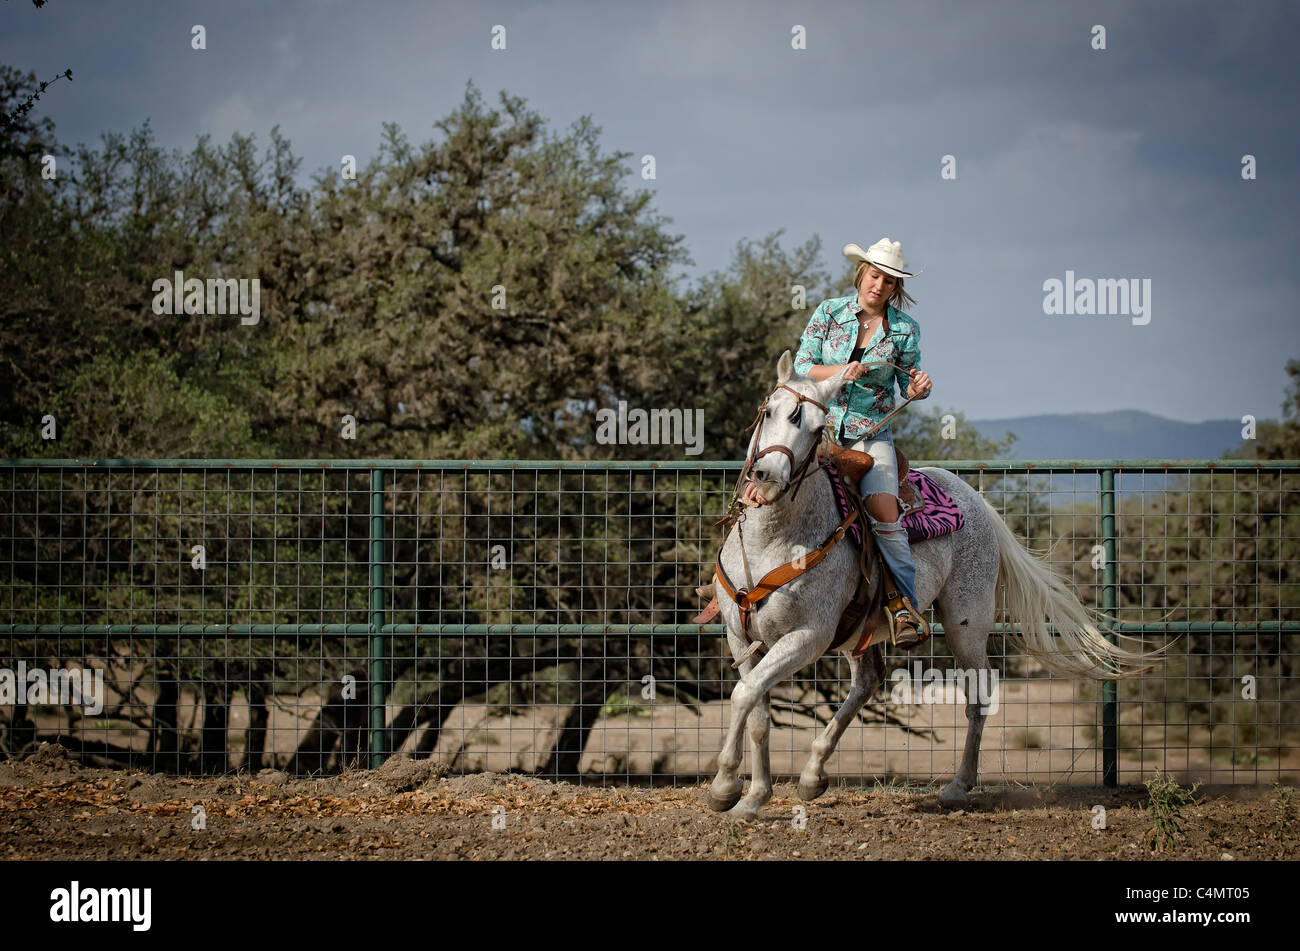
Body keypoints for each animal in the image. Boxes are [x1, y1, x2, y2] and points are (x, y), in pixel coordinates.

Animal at [706, 350, 1155, 819]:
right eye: (769, 412)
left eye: (814, 429)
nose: (768, 475)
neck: (775, 541)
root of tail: (977, 501)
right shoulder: (740, 635)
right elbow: (756, 710)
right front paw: (752, 796)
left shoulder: (807, 637)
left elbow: (744, 694)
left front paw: (724, 786)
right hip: (861, 632)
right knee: (868, 681)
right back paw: (813, 775)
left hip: (965, 623)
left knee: (978, 693)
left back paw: (958, 787)